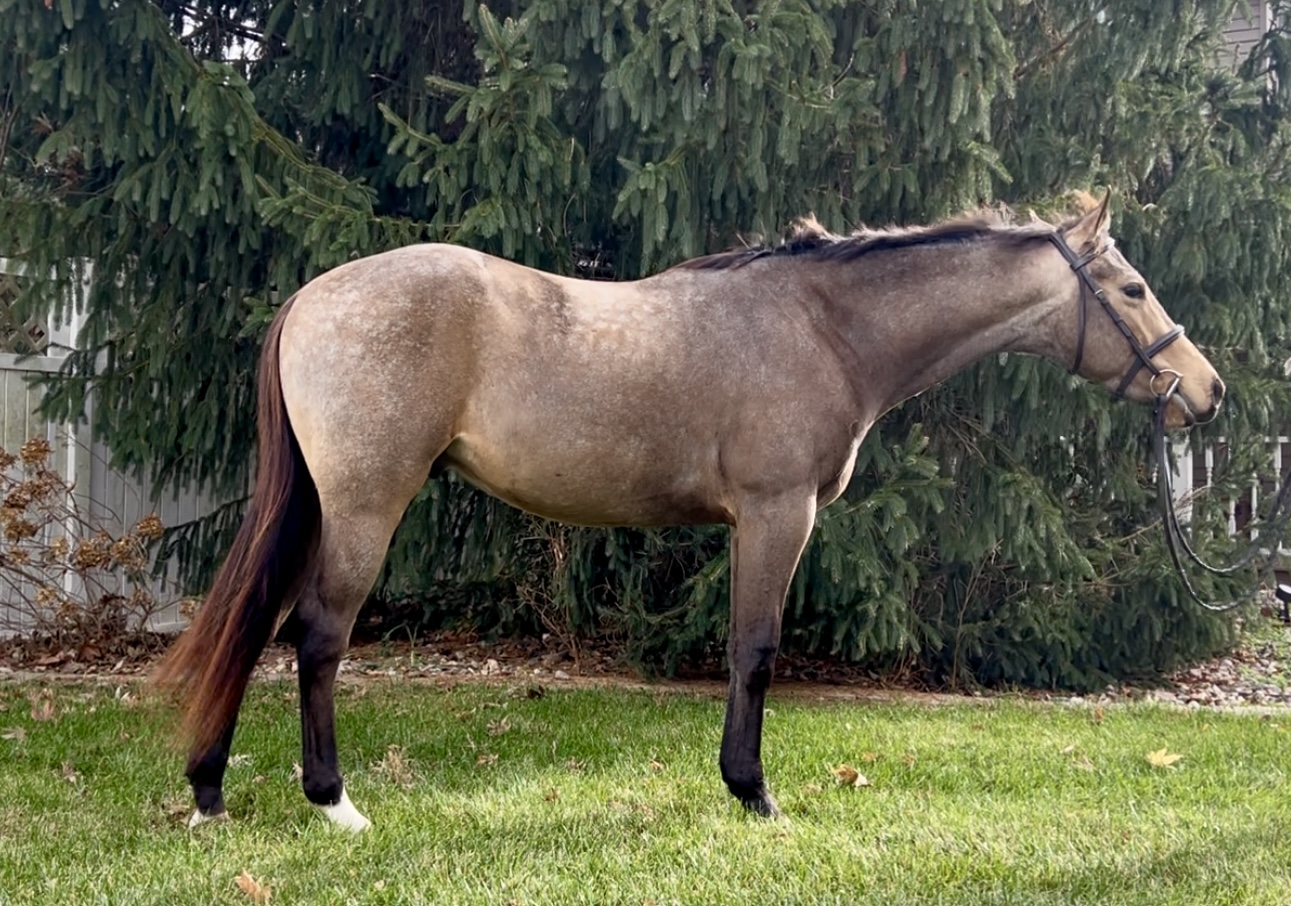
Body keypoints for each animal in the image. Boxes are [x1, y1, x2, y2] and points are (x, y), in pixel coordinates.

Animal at [155, 194, 1224, 831]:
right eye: (1131, 288)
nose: (1206, 392)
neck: (825, 329)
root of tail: (312, 297)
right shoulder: (777, 514)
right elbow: (755, 651)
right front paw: (754, 795)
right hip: (366, 504)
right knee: (317, 637)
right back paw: (333, 804)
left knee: (257, 621)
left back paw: (209, 791)